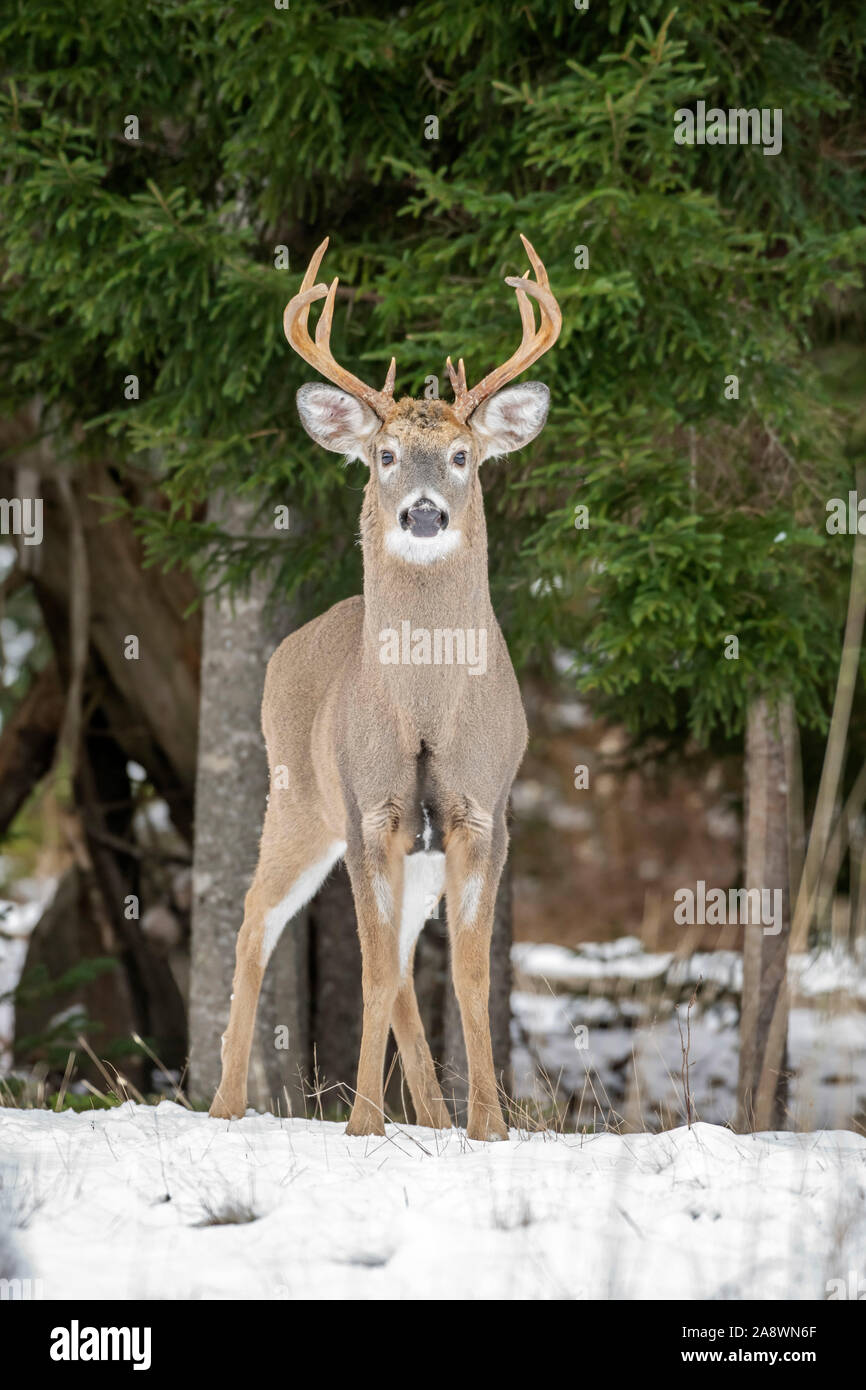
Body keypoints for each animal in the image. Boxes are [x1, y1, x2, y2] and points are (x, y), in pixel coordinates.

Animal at [209, 234, 561, 1140]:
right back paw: (225, 1103)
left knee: (402, 966)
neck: (430, 710)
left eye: (465, 456)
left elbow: (465, 976)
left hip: (405, 851)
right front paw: (363, 1125)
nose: (425, 513)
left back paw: (433, 1120)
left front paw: (489, 1129)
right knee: (255, 920)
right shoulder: (371, 810)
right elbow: (369, 973)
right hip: (298, 799)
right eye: (385, 455)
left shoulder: (484, 811)